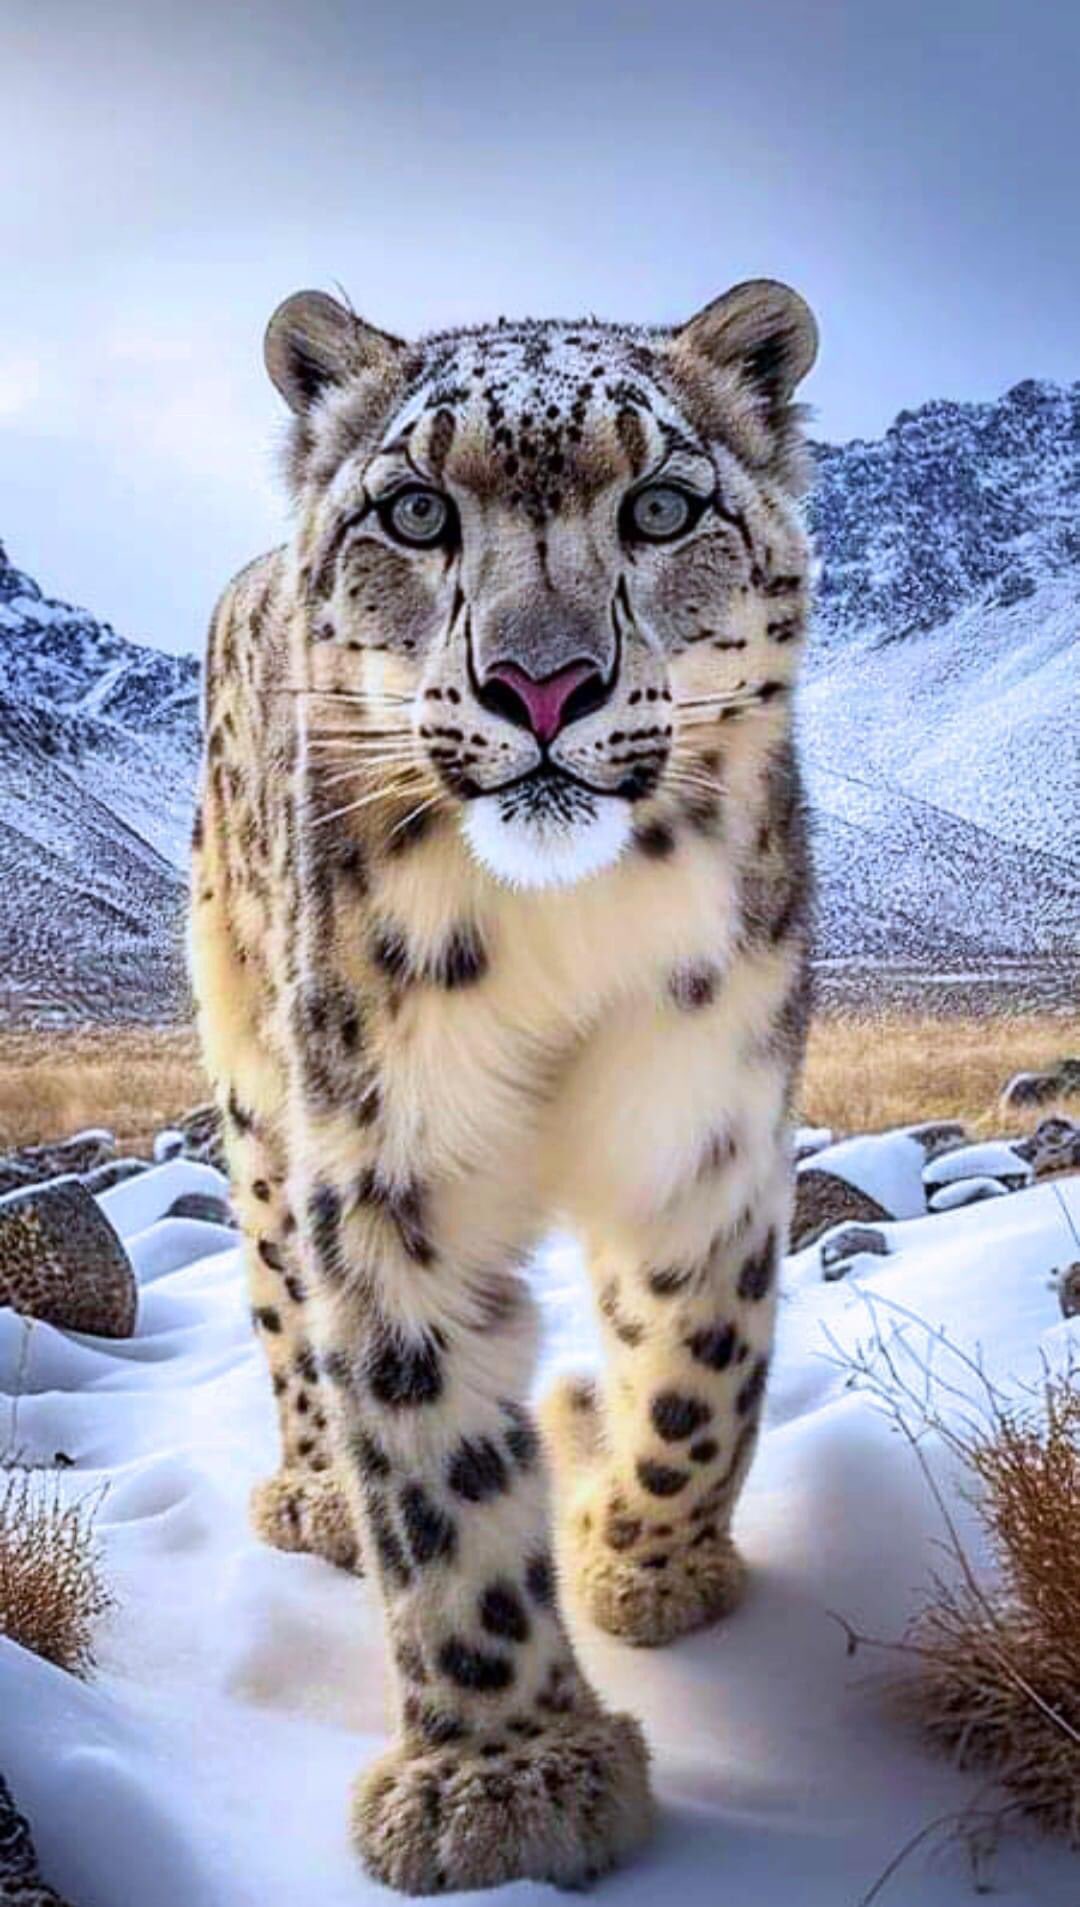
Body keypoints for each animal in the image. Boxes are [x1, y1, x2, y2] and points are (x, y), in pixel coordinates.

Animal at [190, 275, 818, 1895]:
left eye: (662, 504)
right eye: (416, 510)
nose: (542, 683)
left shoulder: (706, 1123)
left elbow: (700, 1367)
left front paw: (643, 1558)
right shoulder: (389, 1162)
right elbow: (433, 1462)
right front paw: (502, 1776)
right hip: (256, 1081)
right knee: (279, 1293)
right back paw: (310, 1490)